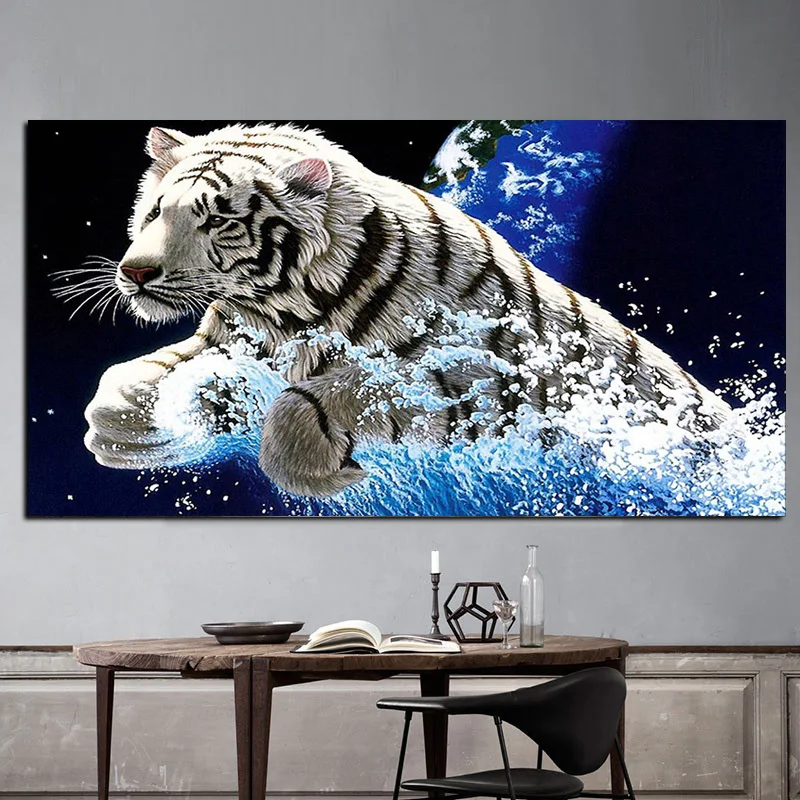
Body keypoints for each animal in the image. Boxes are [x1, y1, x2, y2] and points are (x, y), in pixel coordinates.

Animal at [81, 123, 732, 497]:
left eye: (216, 219)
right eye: (155, 212)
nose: (135, 273)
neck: (282, 309)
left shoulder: (468, 386)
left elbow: (324, 395)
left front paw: (325, 471)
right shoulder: (230, 339)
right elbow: (142, 372)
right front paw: (120, 424)